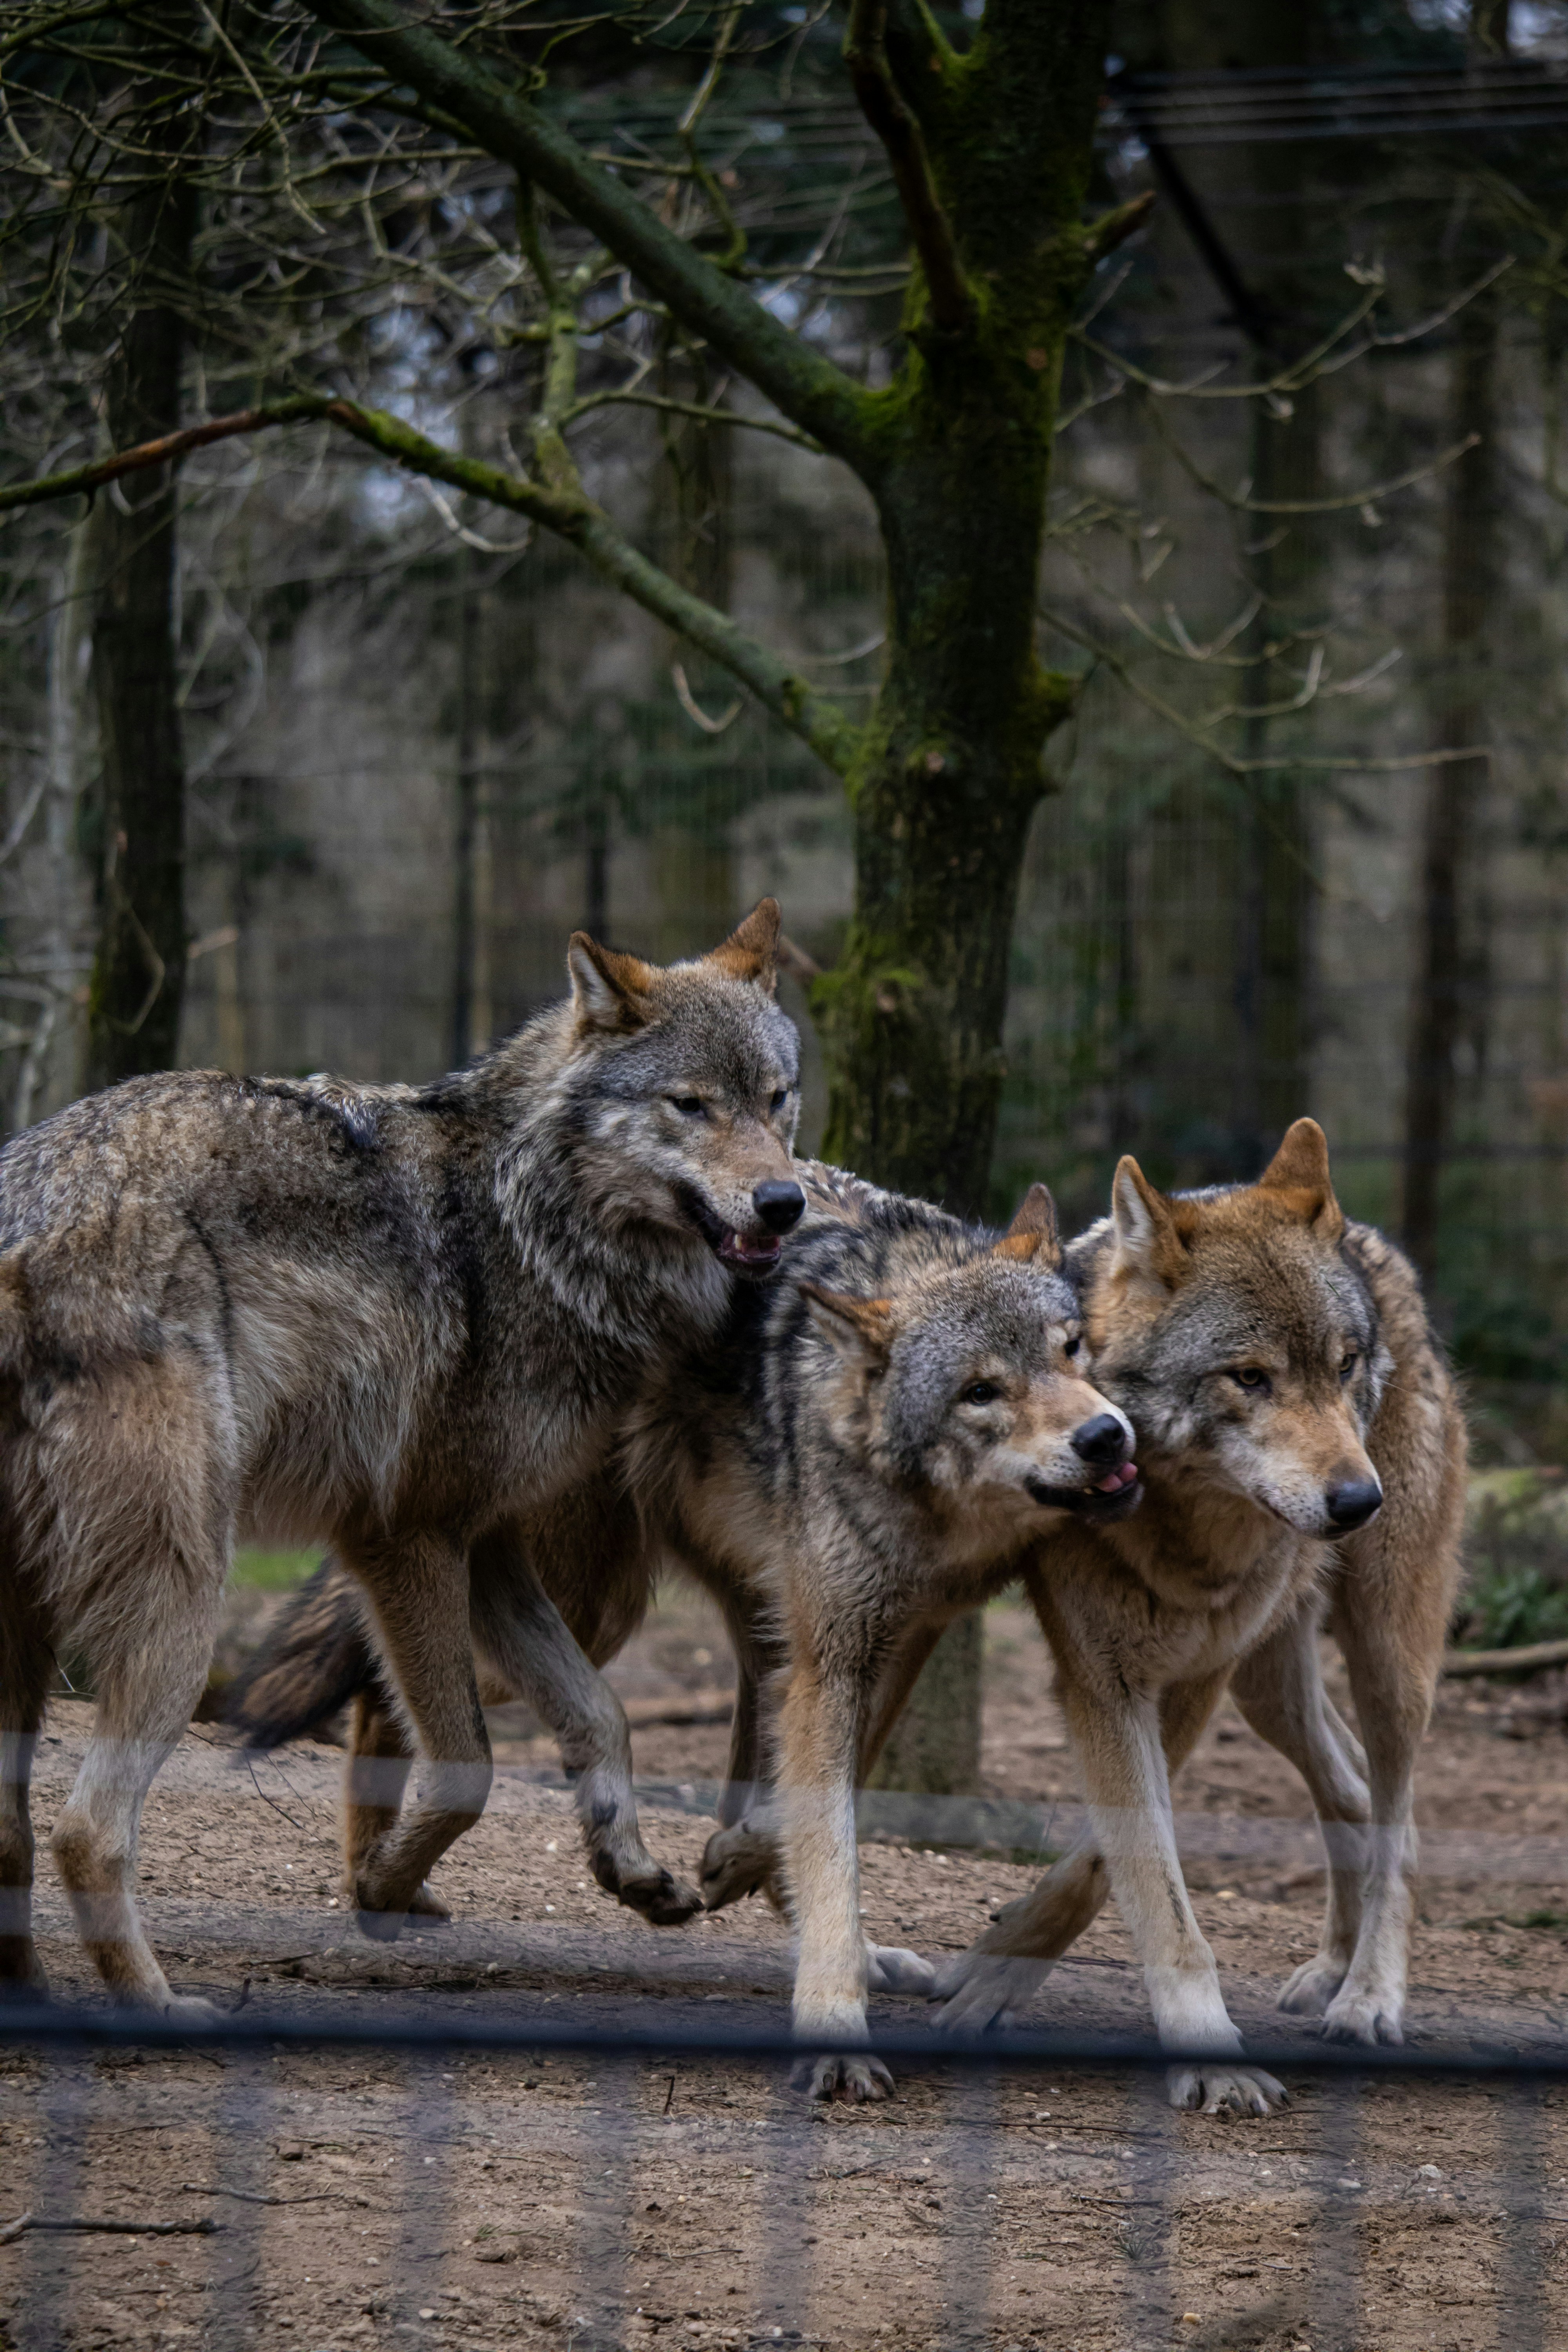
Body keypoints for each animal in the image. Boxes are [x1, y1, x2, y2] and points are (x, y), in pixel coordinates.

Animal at [0, 903, 804, 2015]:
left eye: (776, 1100)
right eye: (690, 1105)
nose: (783, 1202)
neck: (536, 1225)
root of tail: (21, 1226)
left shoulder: (492, 1545)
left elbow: (601, 1719)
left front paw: (630, 1869)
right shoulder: (405, 1535)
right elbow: (466, 1765)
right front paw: (380, 1886)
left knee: (14, 1831)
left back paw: (33, 1994)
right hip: (184, 1602)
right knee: (87, 1830)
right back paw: (156, 2007)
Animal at [926, 1119, 1466, 2113]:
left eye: (1341, 1366)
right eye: (1247, 1377)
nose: (1357, 1500)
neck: (1186, 1535)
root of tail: (1372, 1243)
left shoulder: (1188, 1683)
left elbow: (1111, 1867)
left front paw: (1000, 1973)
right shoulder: (1105, 1682)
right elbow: (1141, 1869)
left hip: (1380, 1661)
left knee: (1397, 1816)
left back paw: (1367, 1995)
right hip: (1269, 1687)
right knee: (1349, 1790)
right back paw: (1330, 1970)